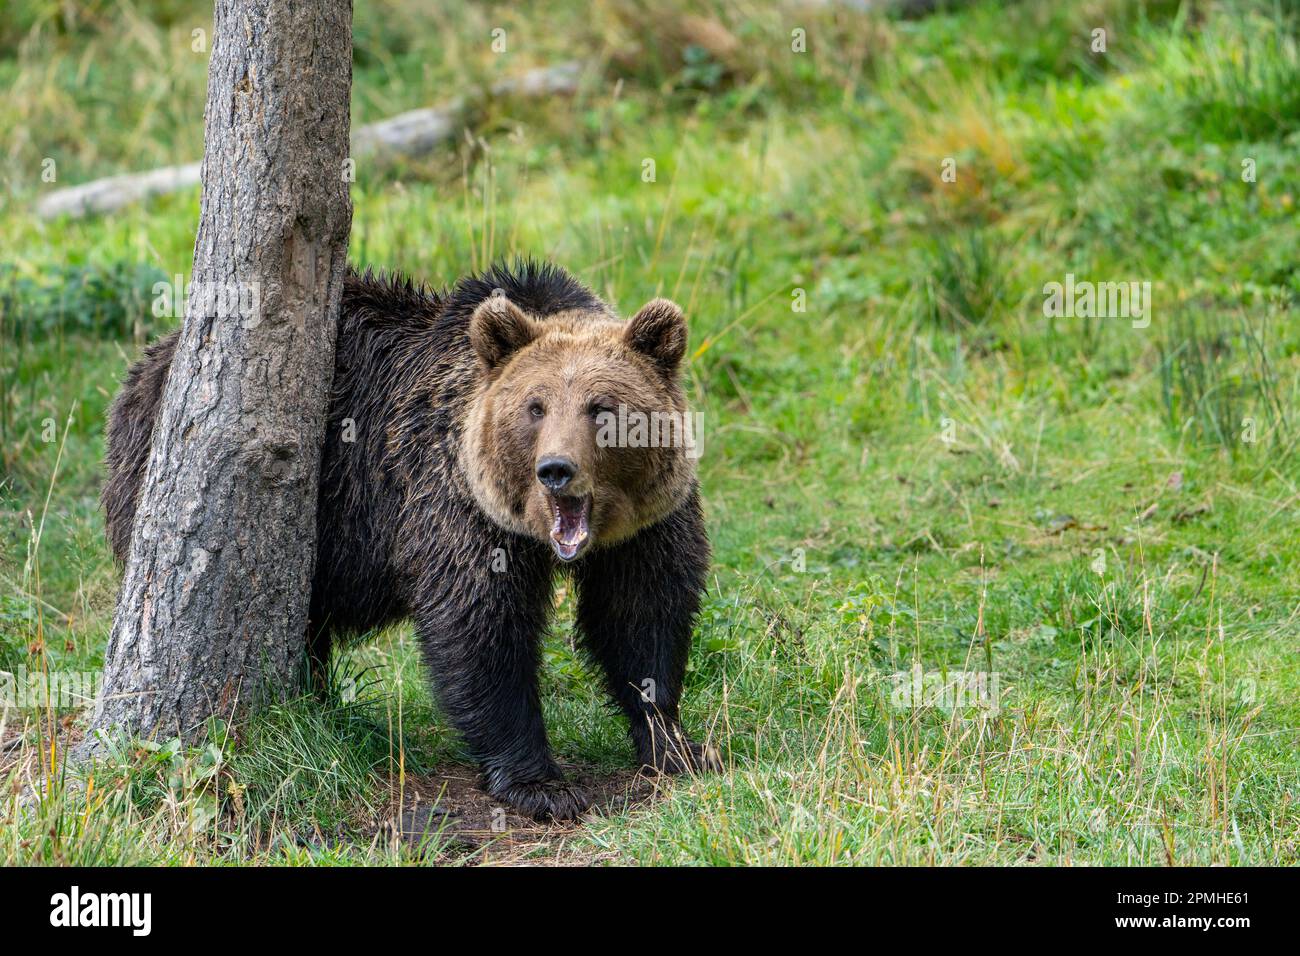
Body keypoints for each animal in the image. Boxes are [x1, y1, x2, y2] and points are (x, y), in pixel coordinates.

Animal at [102, 260, 719, 821]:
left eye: (601, 406)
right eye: (535, 406)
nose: (556, 470)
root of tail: (151, 361)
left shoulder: (646, 527)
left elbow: (641, 613)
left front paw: (677, 743)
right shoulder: (454, 498)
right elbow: (480, 627)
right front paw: (541, 784)